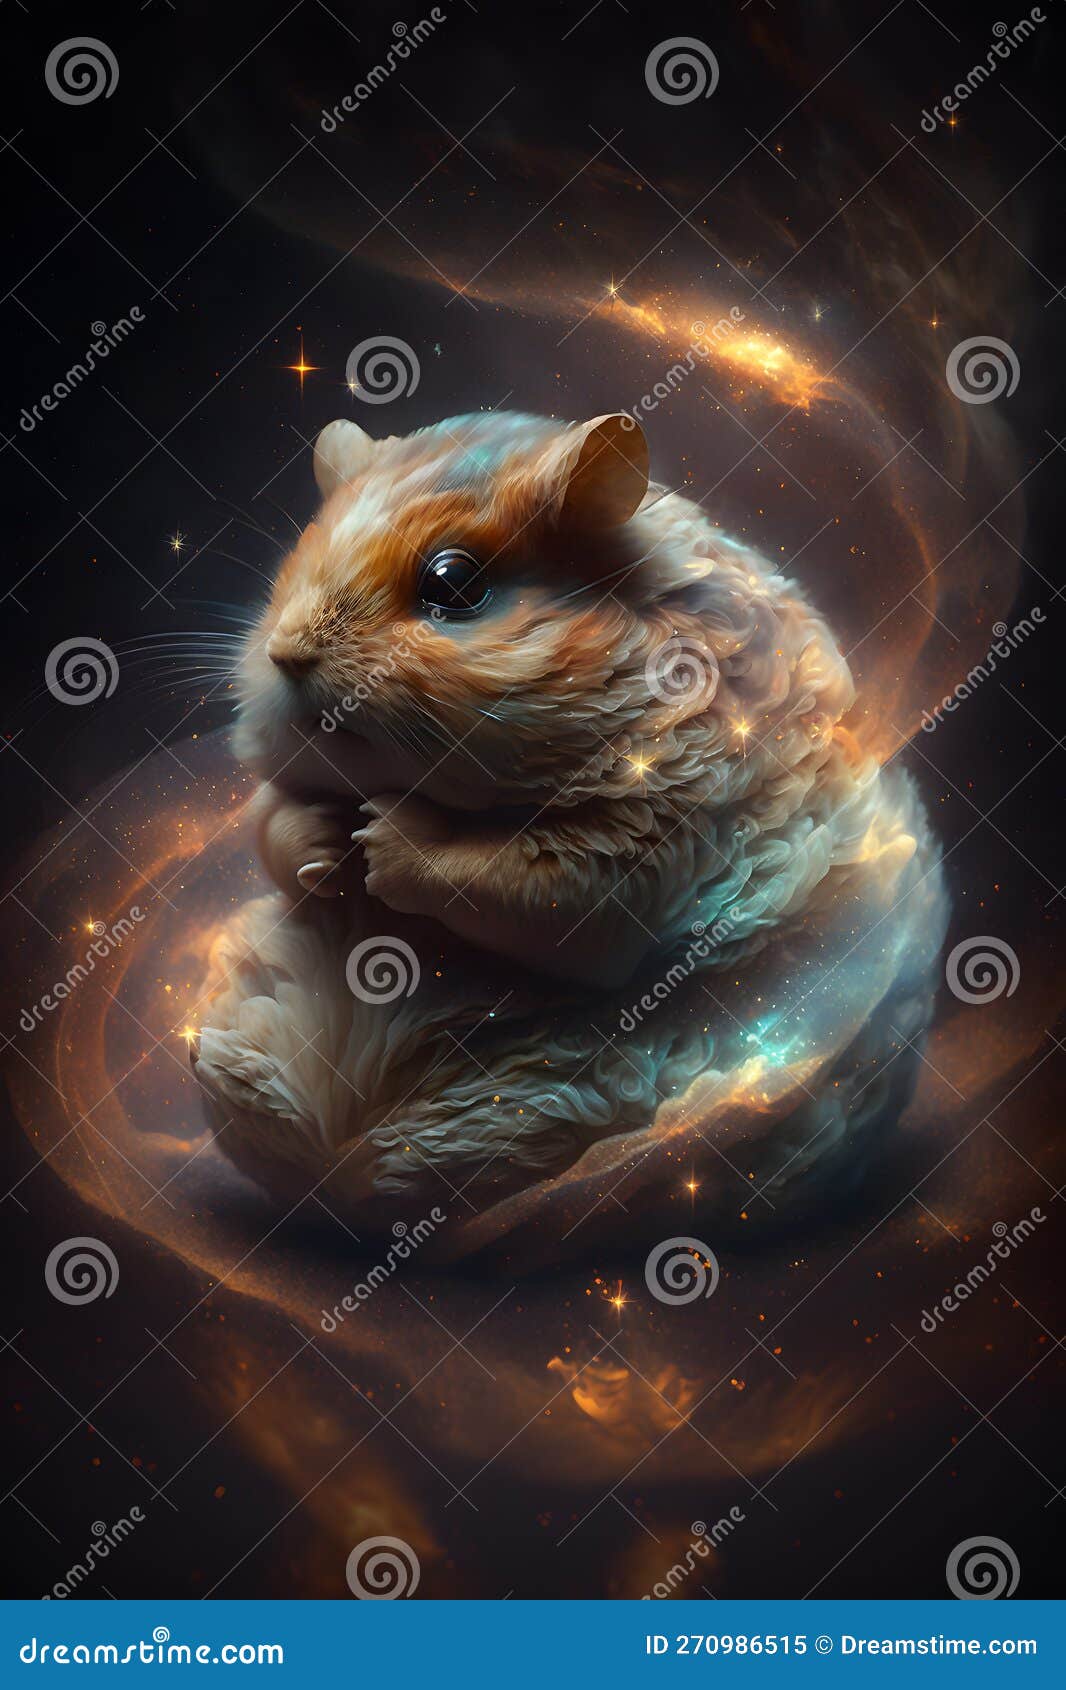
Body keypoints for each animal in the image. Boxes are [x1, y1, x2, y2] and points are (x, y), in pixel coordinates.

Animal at [192, 411, 946, 1238]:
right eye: (298, 554)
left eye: (452, 582)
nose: (283, 653)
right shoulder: (283, 788)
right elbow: (274, 824)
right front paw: (326, 848)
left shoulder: (651, 846)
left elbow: (521, 886)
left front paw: (387, 840)